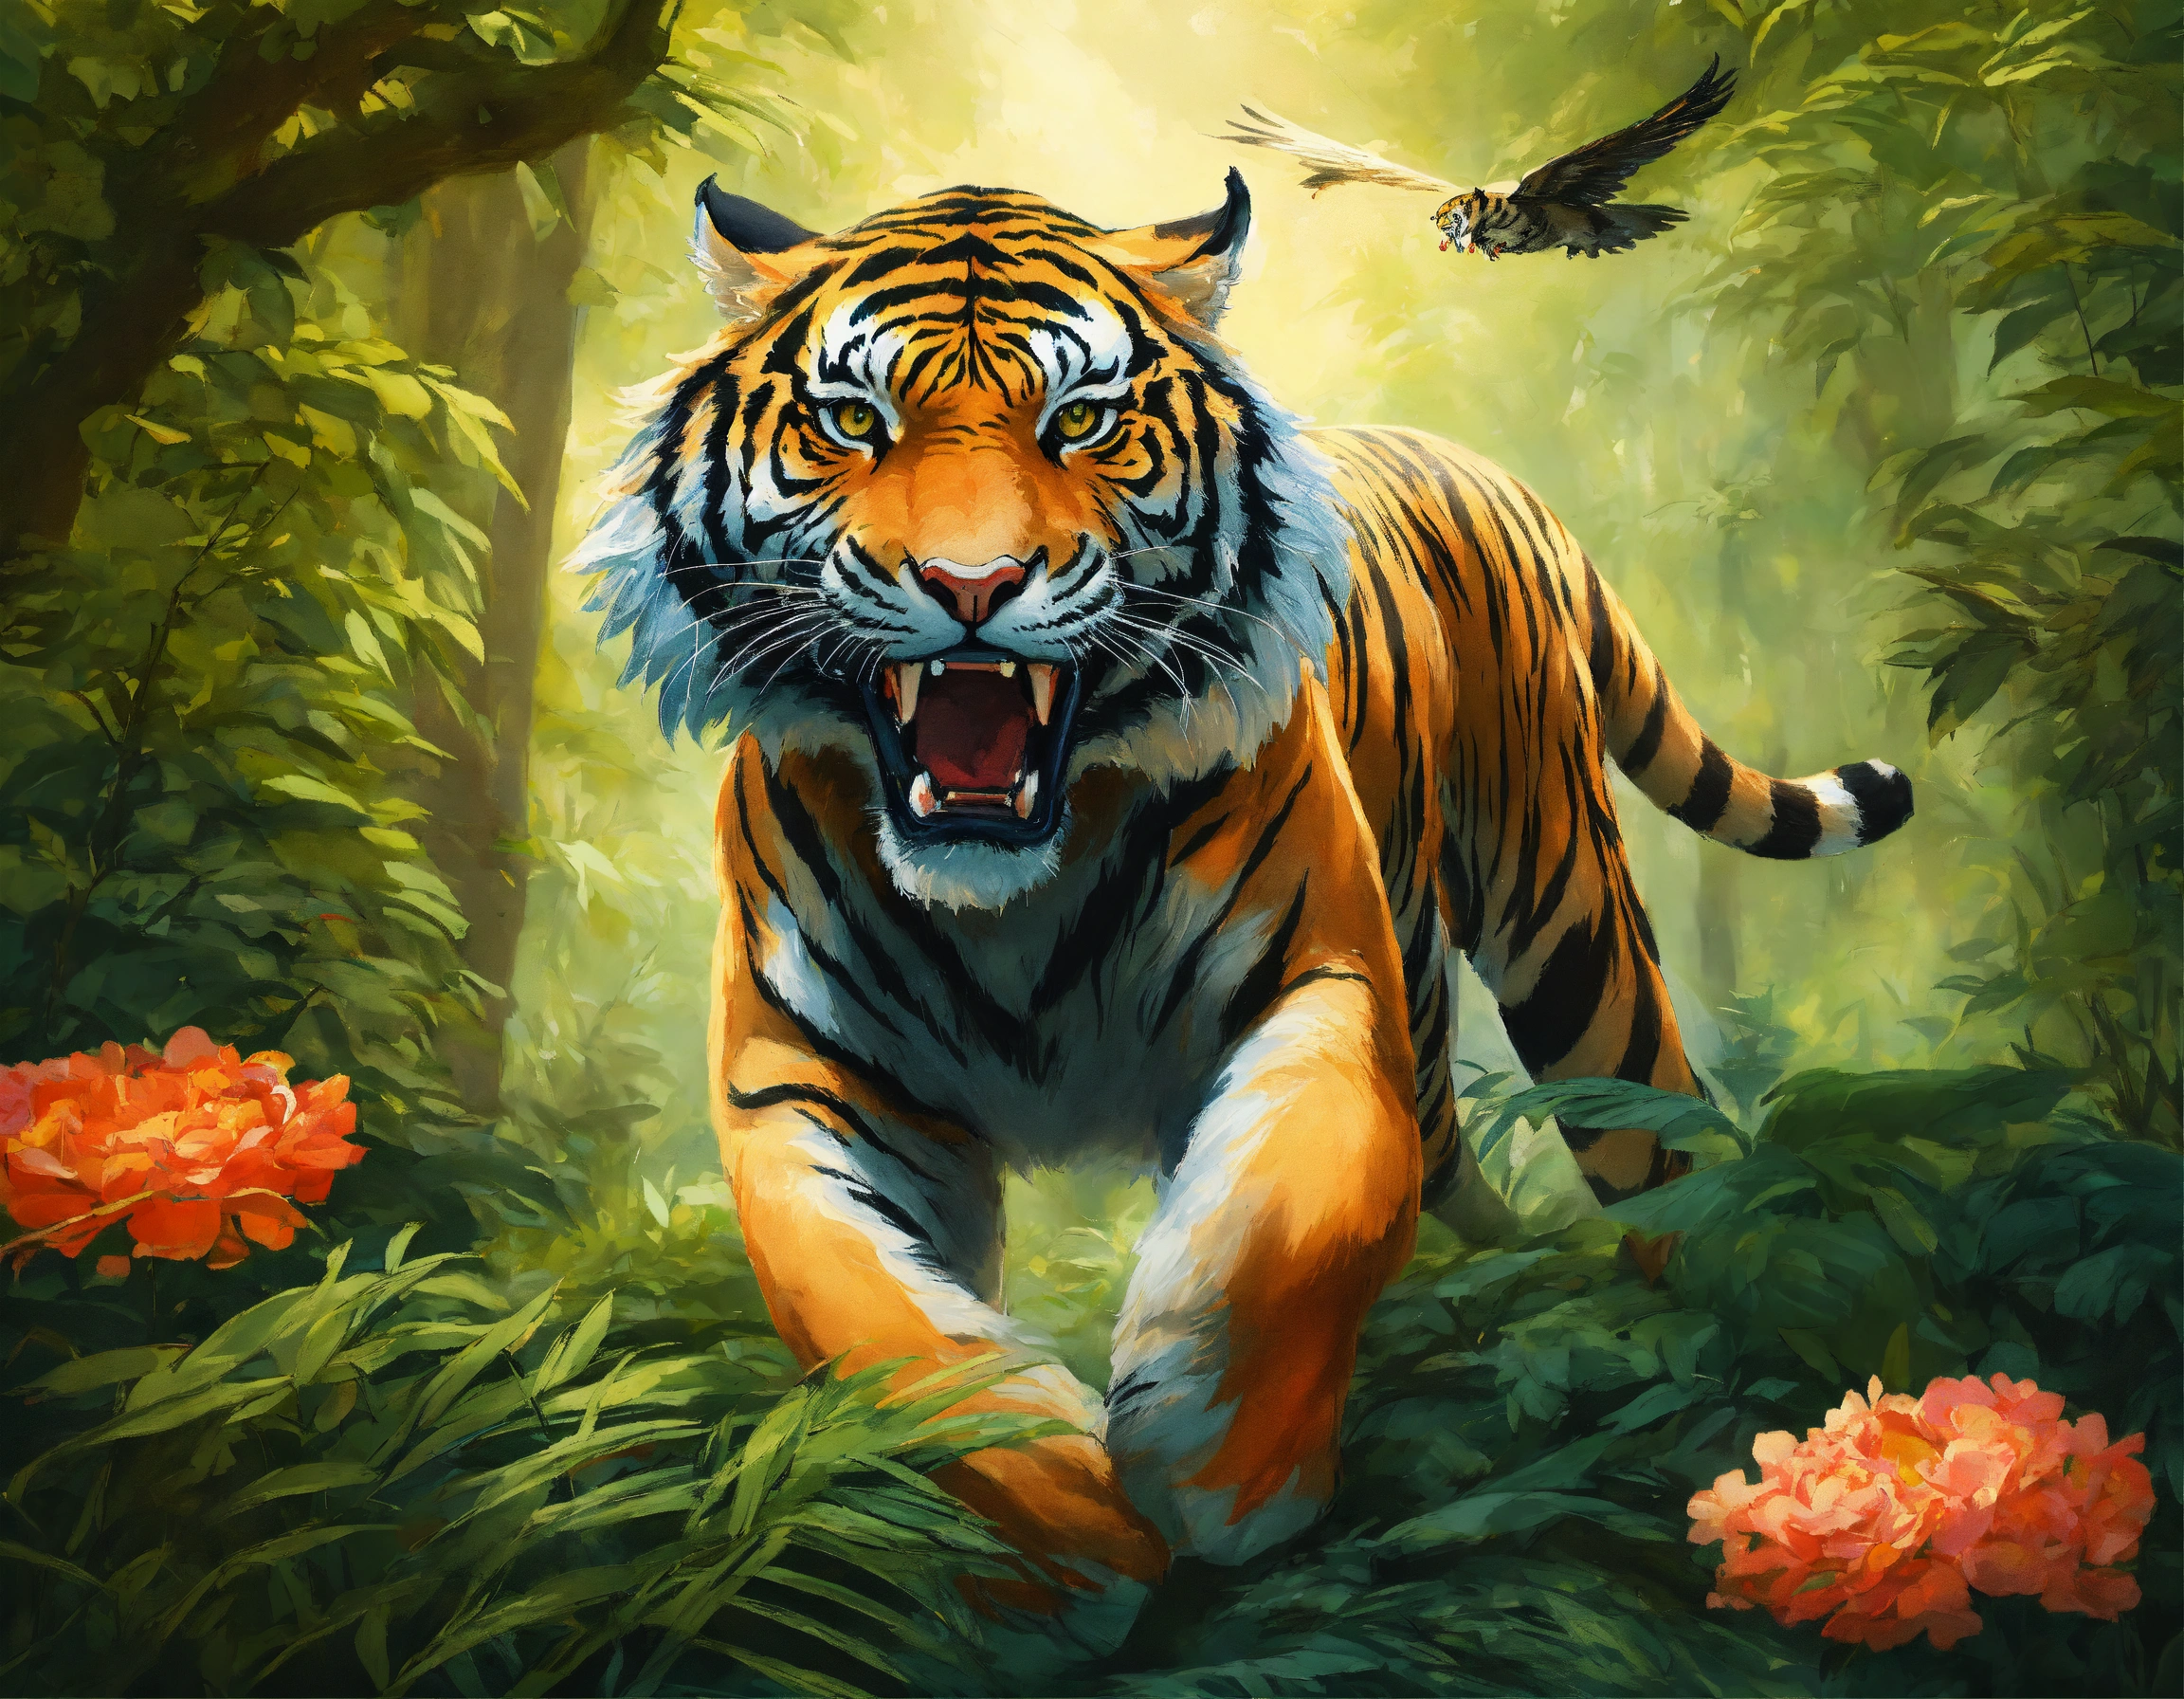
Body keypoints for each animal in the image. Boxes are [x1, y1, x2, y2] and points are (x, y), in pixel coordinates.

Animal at [571, 167, 1913, 1660]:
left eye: (1082, 421)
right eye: (854, 422)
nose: (972, 588)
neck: (1008, 893)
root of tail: (1494, 476)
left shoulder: (1317, 991)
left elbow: (1282, 1227)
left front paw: (1214, 1482)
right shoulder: (801, 1078)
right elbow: (874, 1321)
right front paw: (1067, 1548)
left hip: (1566, 923)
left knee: (1664, 1147)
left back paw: (1697, 1367)